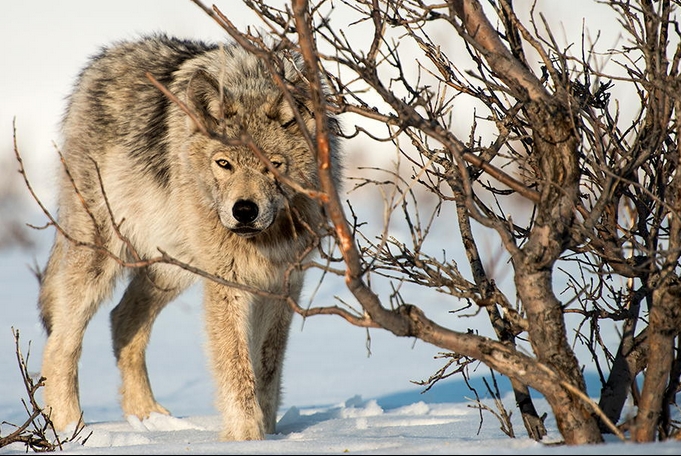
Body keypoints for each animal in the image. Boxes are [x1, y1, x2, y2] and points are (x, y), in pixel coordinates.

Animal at [38, 33, 342, 441]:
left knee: (122, 320)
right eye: (224, 164)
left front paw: (270, 433)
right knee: (60, 345)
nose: (244, 211)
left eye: (272, 166)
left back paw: (149, 419)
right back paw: (72, 429)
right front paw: (246, 437)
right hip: (101, 259)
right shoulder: (226, 282)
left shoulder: (283, 284)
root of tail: (100, 61)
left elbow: (267, 366)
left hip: (172, 268)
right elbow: (237, 366)